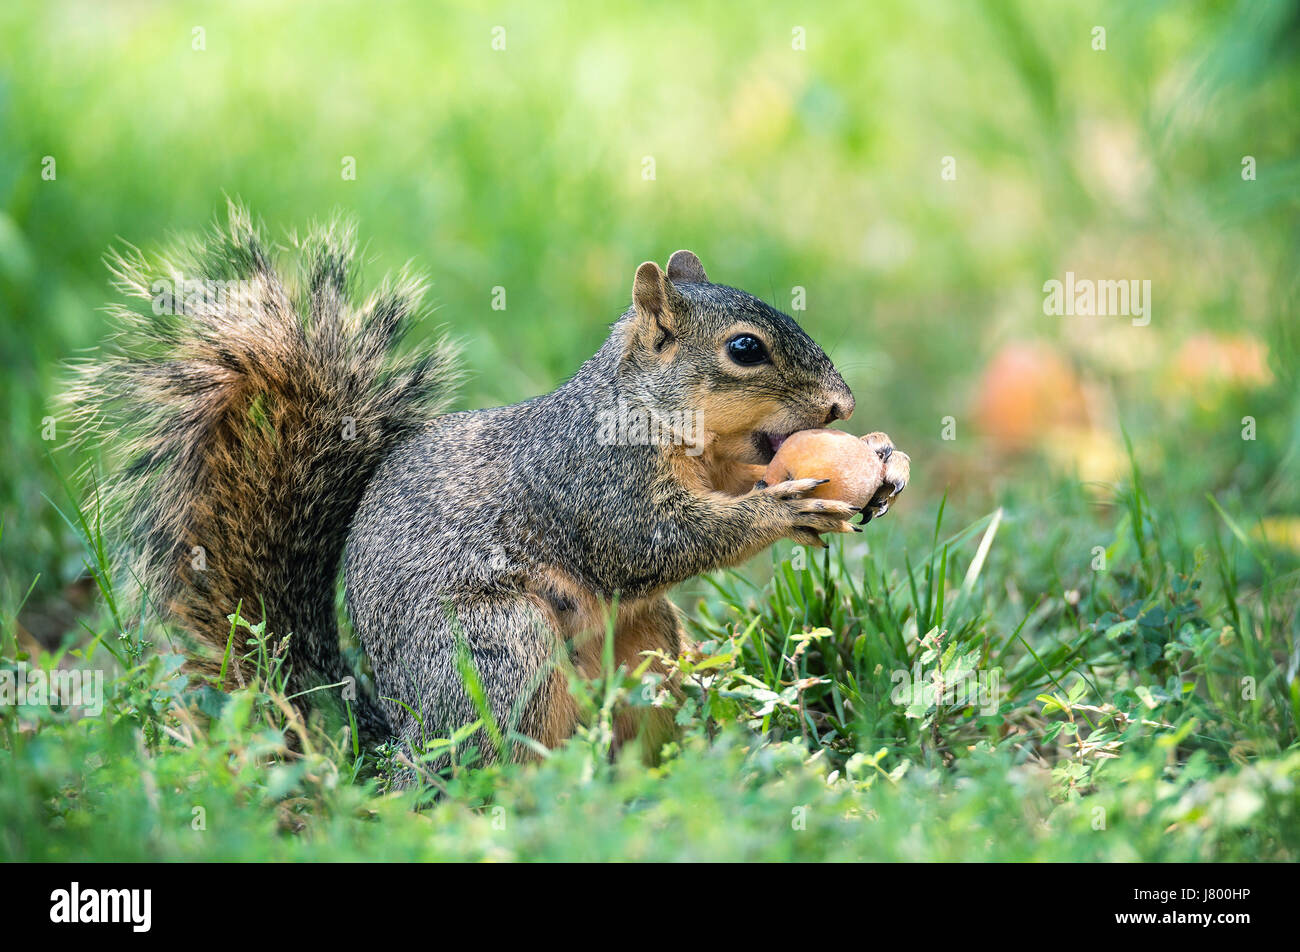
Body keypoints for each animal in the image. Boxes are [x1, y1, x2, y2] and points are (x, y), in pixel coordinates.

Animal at [67, 204, 910, 762]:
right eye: (744, 349)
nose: (842, 405)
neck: (647, 417)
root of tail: (392, 746)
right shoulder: (591, 483)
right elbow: (653, 542)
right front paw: (781, 508)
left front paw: (882, 461)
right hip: (498, 646)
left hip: (646, 645)